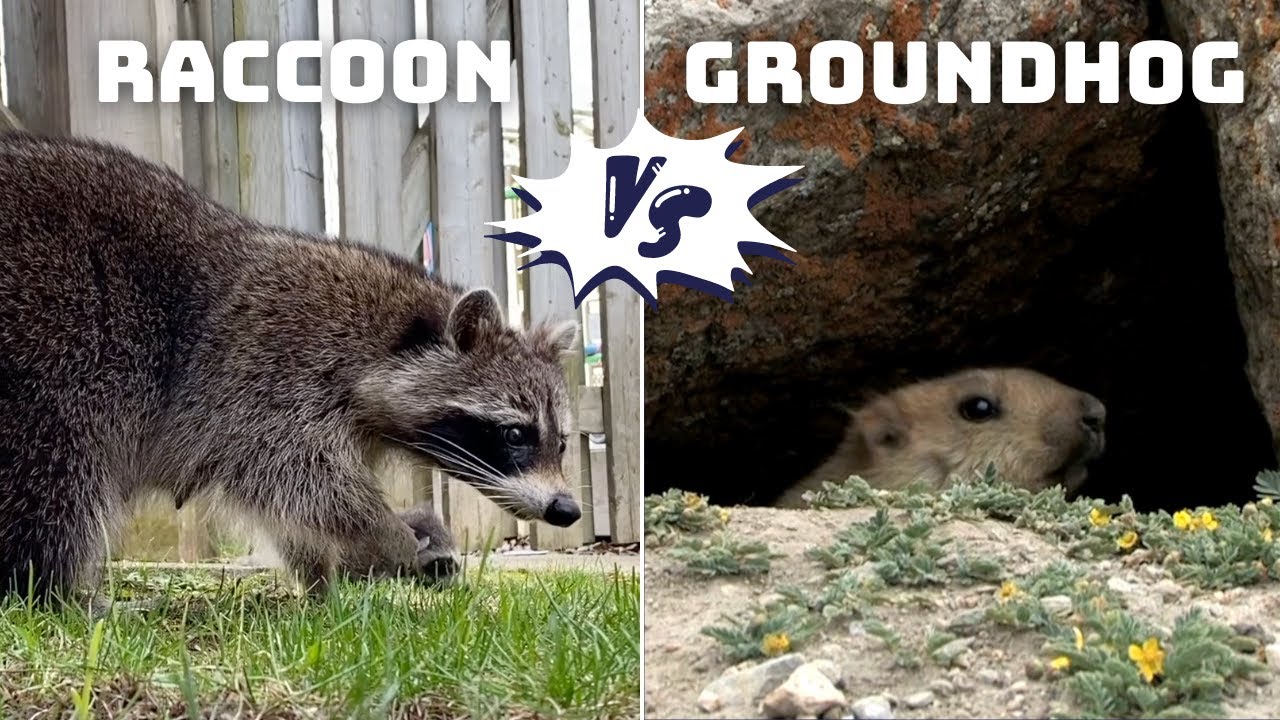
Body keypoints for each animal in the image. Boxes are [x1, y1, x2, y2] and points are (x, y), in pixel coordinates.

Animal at [0, 131, 582, 600]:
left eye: (562, 442)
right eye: (514, 433)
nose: (566, 510)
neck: (382, 339)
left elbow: (292, 509)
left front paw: (333, 581)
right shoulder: (262, 373)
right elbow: (295, 475)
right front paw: (383, 533)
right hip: (52, 341)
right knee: (55, 475)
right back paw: (49, 593)